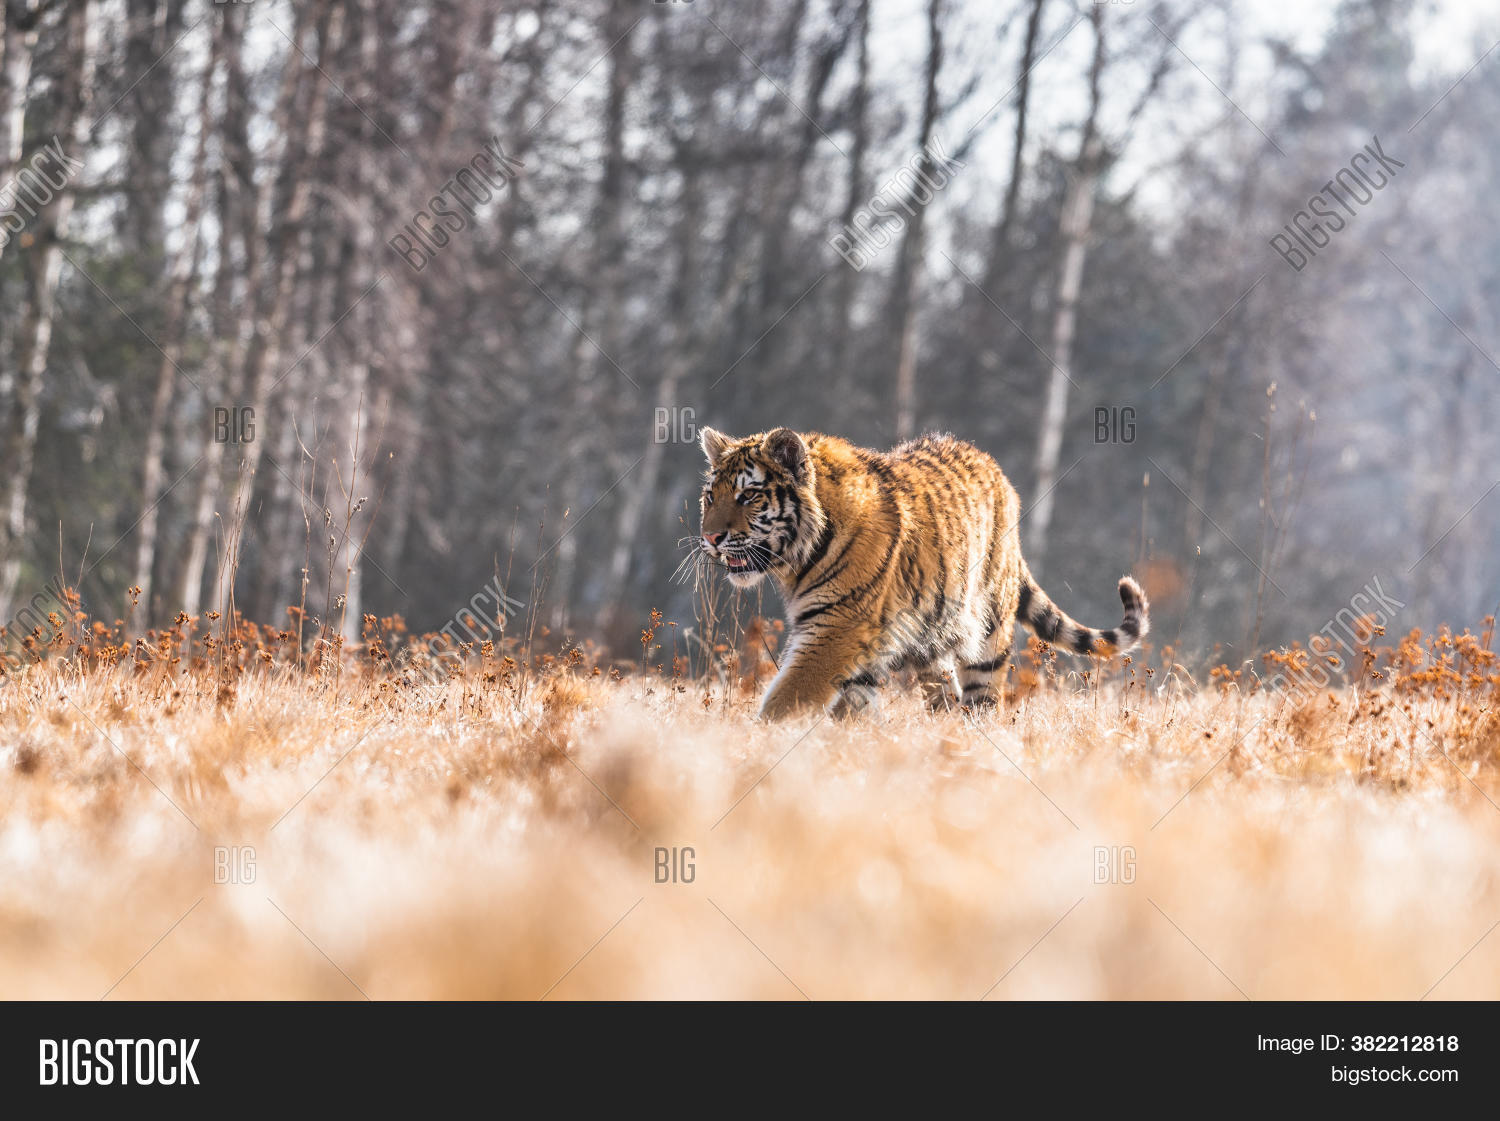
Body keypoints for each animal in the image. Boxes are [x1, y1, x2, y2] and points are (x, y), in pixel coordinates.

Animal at [694, 426, 1149, 720]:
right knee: (943, 697)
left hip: (987, 629)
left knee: (982, 700)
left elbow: (787, 699)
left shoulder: (836, 629)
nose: (710, 537)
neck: (799, 555)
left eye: (749, 495)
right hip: (929, 637)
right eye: (710, 496)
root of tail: (999, 473)